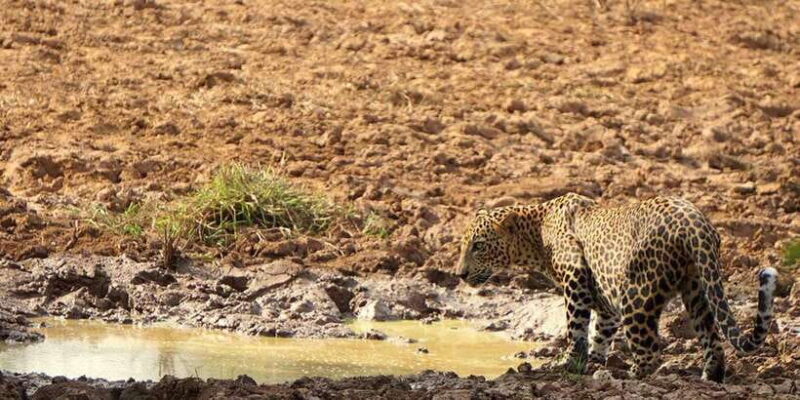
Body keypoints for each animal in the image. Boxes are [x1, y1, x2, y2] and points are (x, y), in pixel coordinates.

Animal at [457, 193, 778, 382]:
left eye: (478, 246)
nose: (459, 274)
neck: (535, 231)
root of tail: (695, 222)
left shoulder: (575, 277)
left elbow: (576, 327)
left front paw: (569, 363)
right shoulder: (604, 299)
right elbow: (601, 332)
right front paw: (595, 361)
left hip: (638, 294)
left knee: (649, 348)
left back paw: (631, 376)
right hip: (698, 288)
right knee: (712, 337)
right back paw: (710, 376)